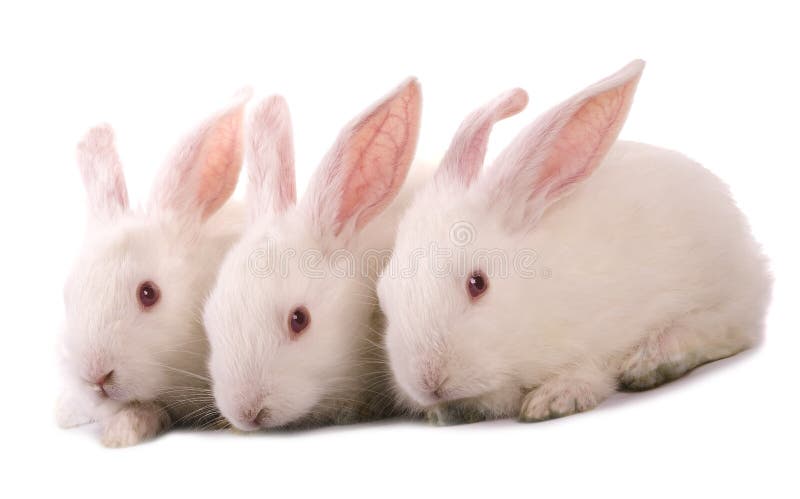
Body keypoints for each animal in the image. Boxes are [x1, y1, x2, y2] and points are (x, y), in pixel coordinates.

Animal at [376, 60, 772, 425]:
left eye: (478, 283)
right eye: (384, 291)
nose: (428, 382)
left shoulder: (609, 328)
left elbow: (591, 367)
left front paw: (554, 399)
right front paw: (443, 412)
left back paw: (653, 360)